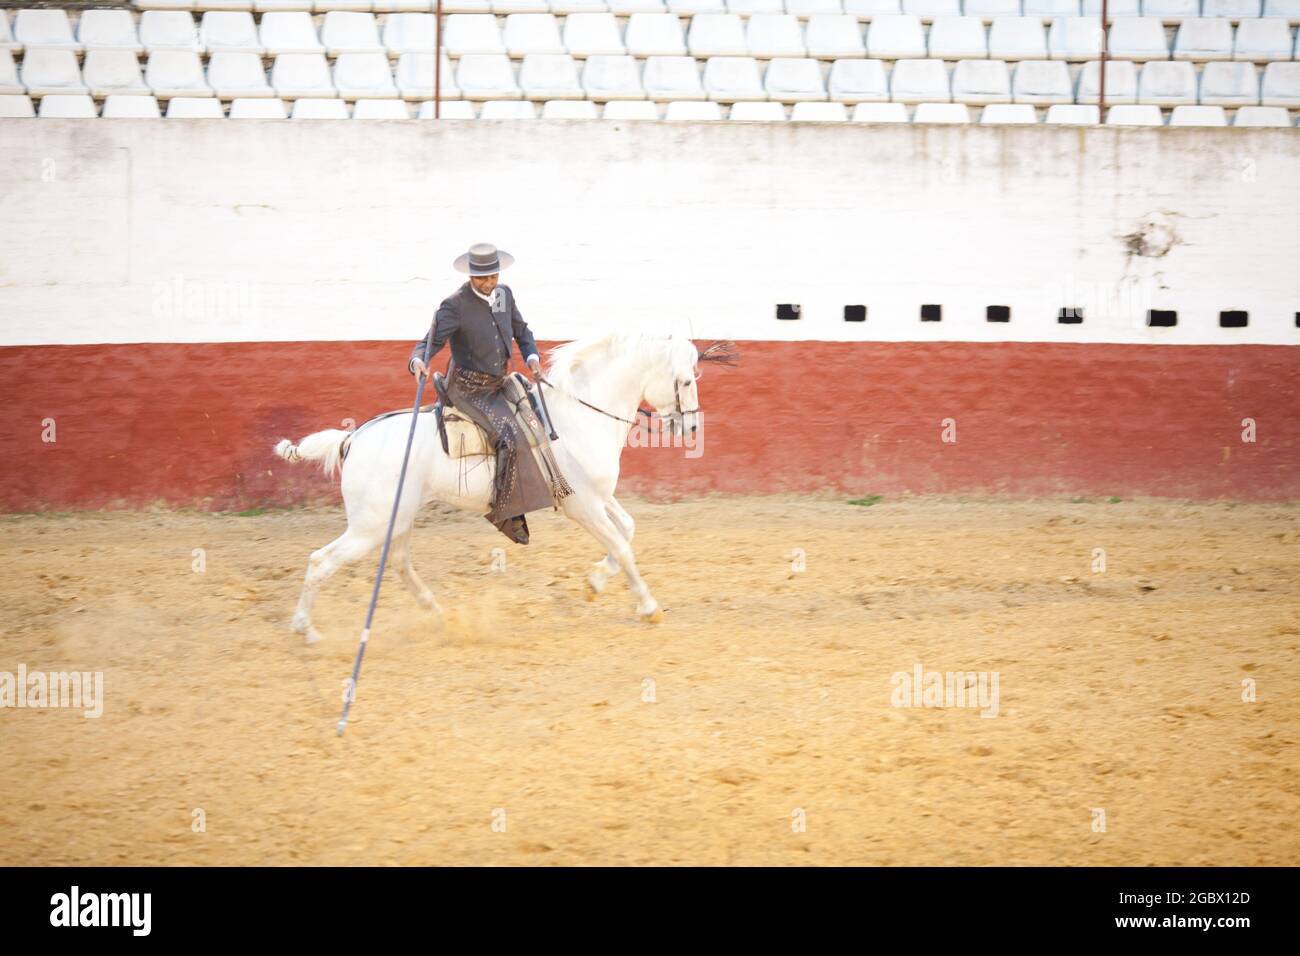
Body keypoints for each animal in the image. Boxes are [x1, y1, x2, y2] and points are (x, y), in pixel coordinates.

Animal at [272, 332, 732, 644]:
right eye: (686, 381)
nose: (692, 428)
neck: (576, 416)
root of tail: (353, 439)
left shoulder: (601, 498)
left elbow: (628, 531)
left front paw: (595, 583)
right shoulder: (583, 506)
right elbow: (622, 546)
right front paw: (648, 607)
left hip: (396, 520)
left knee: (399, 564)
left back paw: (438, 615)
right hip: (371, 525)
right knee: (320, 561)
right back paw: (305, 629)